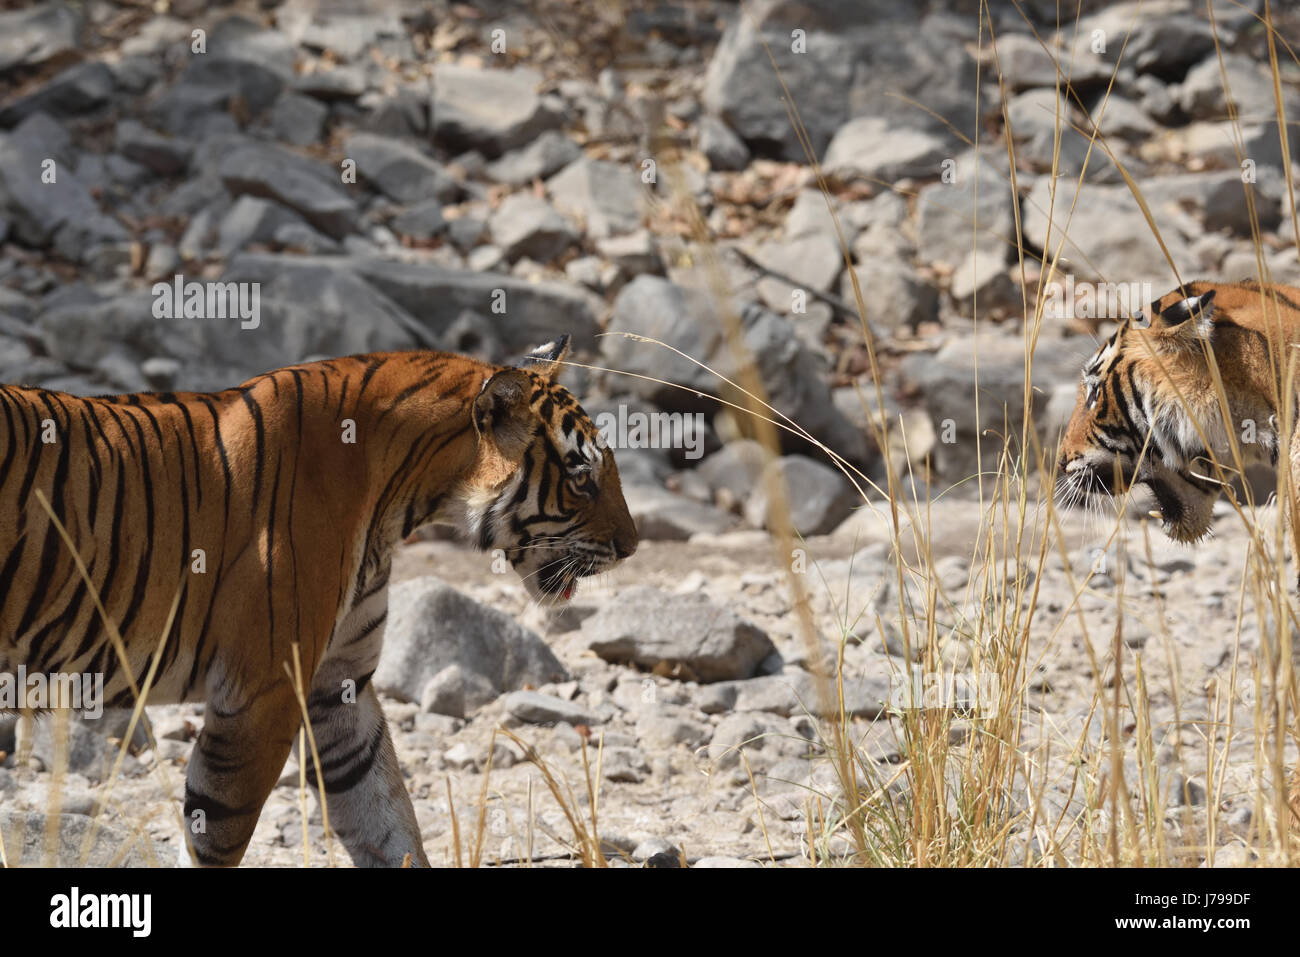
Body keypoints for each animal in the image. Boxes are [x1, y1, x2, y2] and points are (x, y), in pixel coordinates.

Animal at [0, 335, 638, 867]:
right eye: (582, 476)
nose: (632, 547)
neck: (400, 498)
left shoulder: (339, 683)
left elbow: (384, 814)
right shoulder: (263, 691)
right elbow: (219, 831)